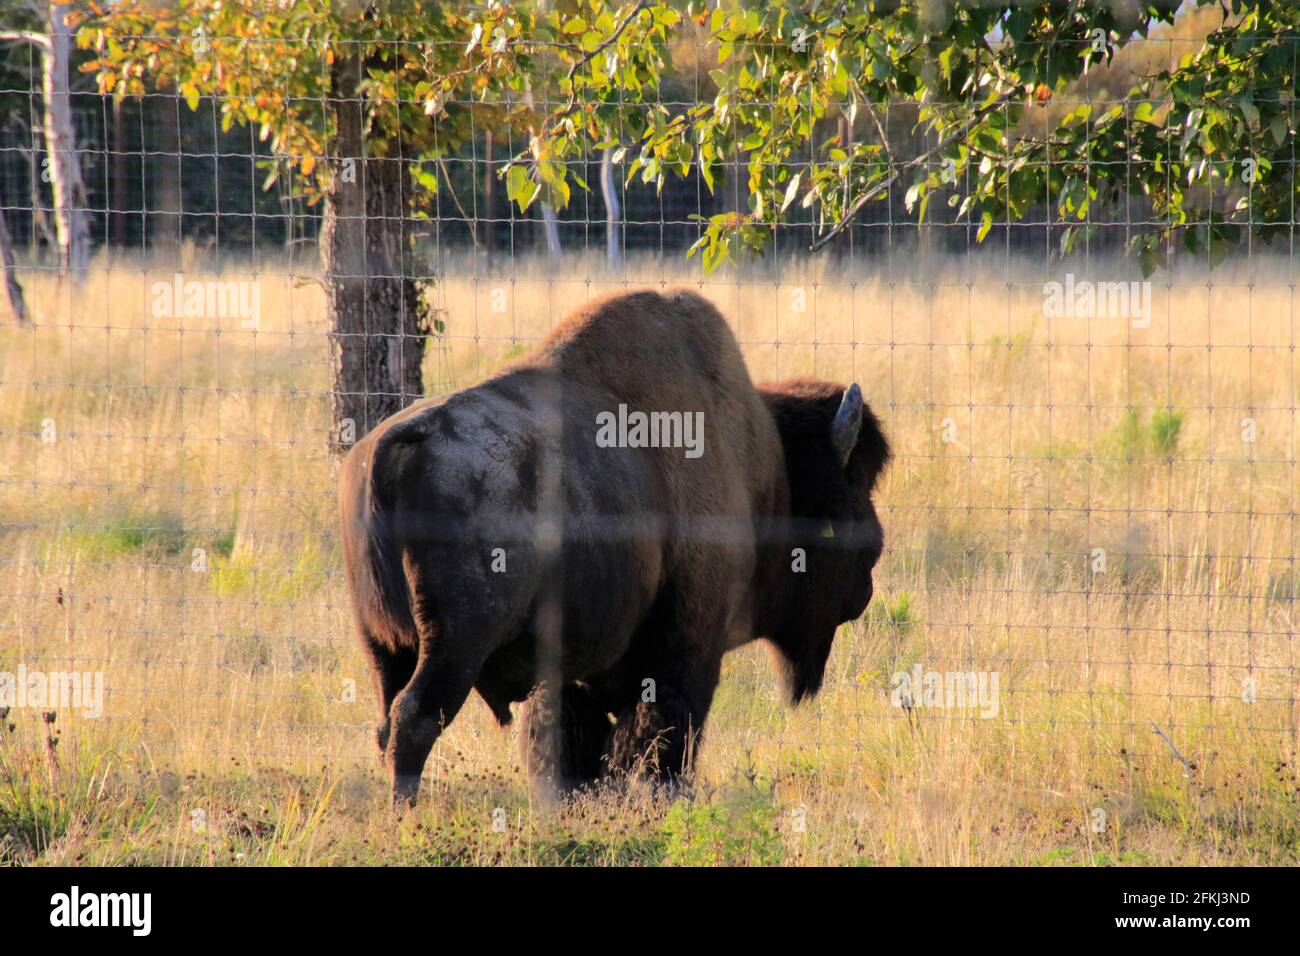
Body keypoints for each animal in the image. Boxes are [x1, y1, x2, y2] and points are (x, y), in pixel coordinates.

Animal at [338, 289, 889, 804]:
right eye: (847, 501)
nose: (867, 582)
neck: (768, 475)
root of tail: (398, 441)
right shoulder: (686, 650)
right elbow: (660, 735)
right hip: (455, 645)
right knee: (416, 718)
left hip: (383, 644)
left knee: (387, 720)